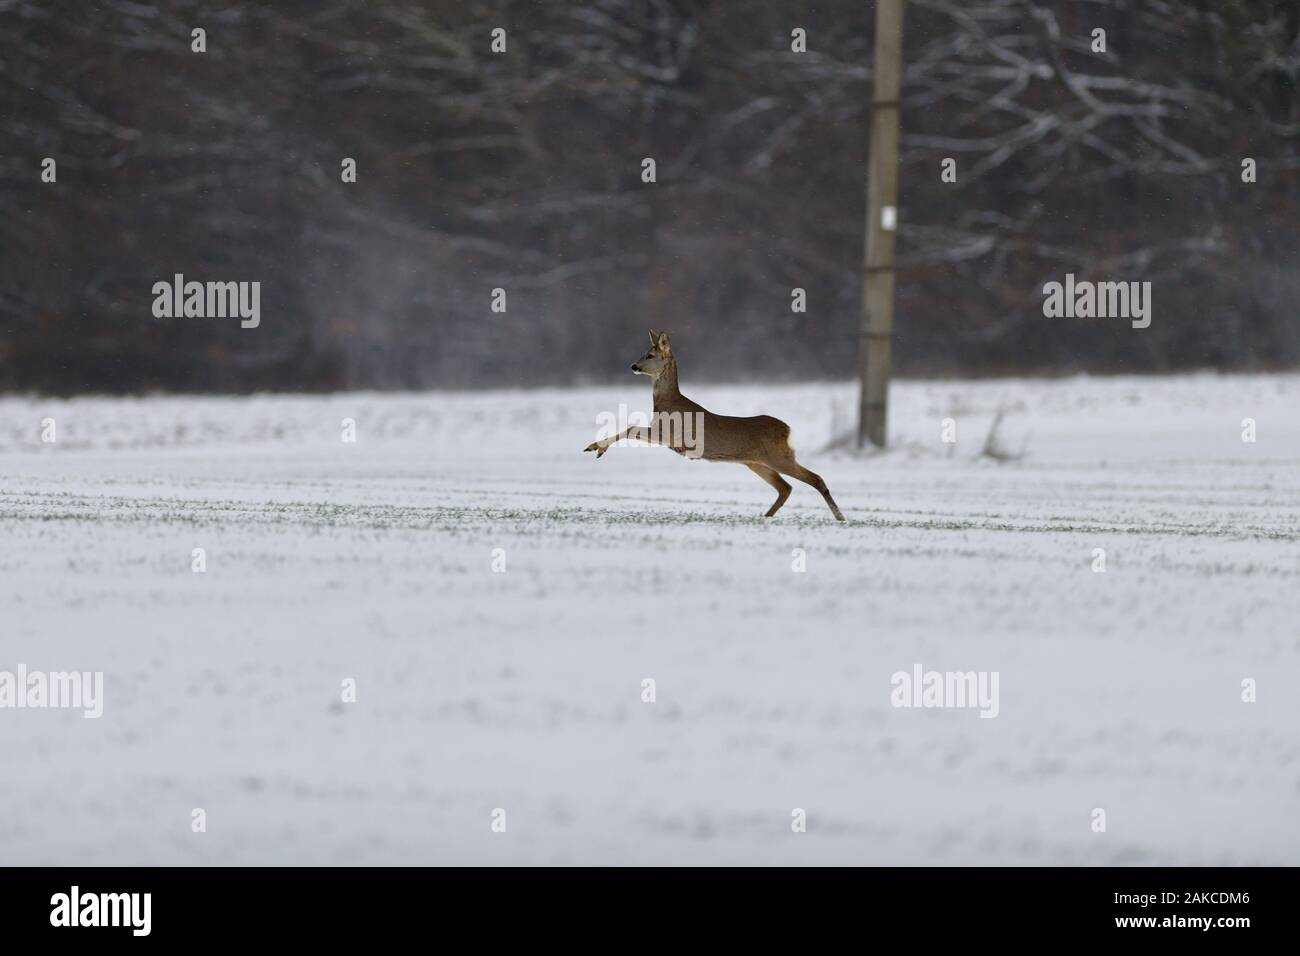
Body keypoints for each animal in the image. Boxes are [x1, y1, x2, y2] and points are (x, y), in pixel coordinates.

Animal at [583, 331, 846, 521]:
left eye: (649, 354)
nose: (633, 366)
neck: (667, 402)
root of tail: (788, 430)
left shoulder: (669, 433)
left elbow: (631, 428)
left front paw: (596, 446)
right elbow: (632, 429)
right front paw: (596, 447)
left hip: (778, 456)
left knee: (815, 479)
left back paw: (840, 517)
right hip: (756, 462)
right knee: (785, 488)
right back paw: (766, 516)